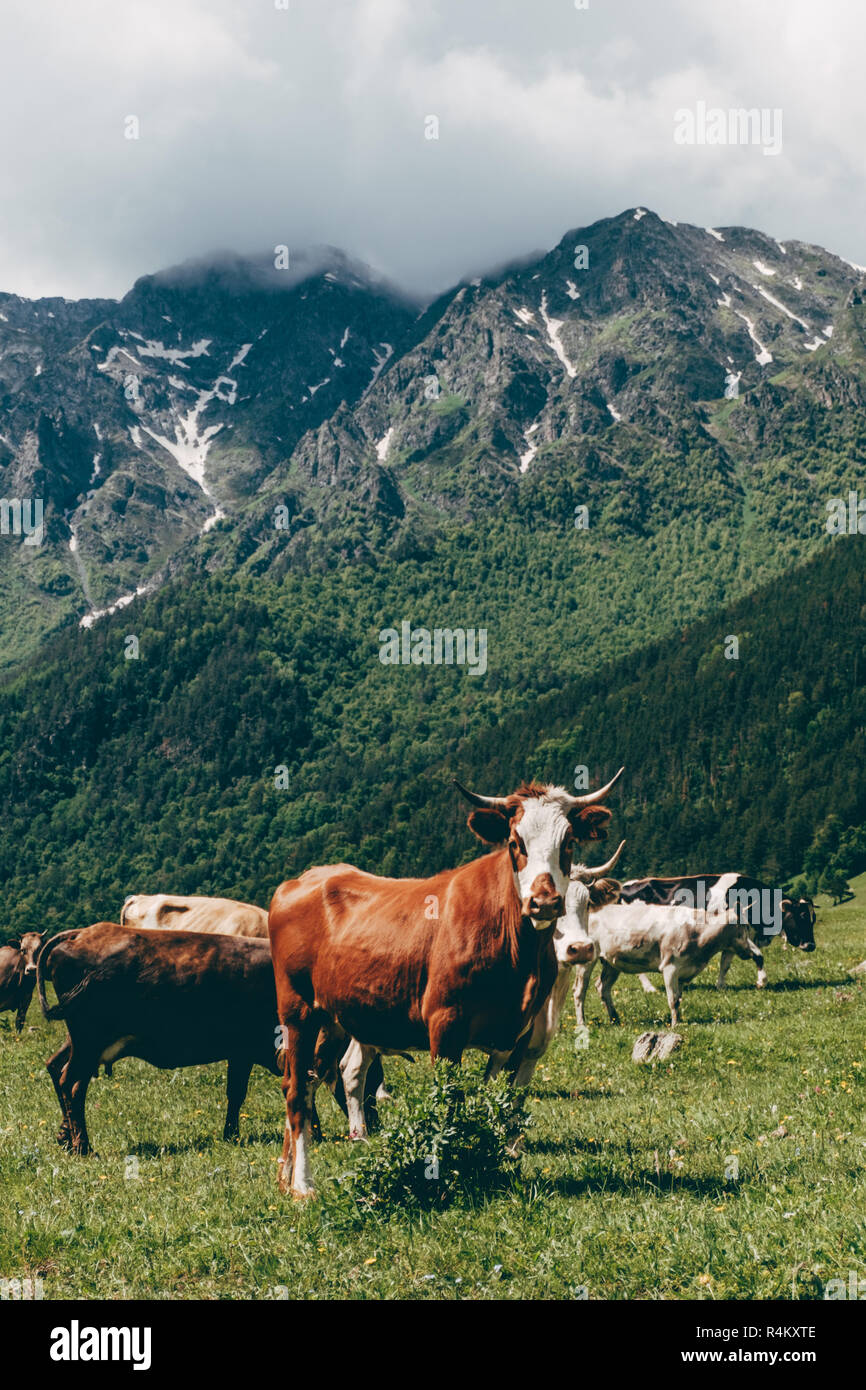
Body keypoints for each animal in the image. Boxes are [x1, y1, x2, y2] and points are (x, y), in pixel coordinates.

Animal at [37, 923, 284, 1154]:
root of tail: (82, 933)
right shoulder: (244, 1050)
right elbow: (237, 1093)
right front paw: (232, 1135)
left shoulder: (241, 1052)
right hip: (89, 1041)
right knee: (71, 1083)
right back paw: (82, 1147)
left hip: (80, 1042)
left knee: (56, 1067)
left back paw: (65, 1137)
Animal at [573, 897, 764, 1028]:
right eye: (745, 926)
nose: (751, 952)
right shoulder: (670, 967)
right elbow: (673, 999)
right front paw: (674, 1026)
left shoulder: (684, 971)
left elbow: (678, 998)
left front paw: (680, 1021)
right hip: (587, 960)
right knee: (579, 991)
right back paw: (582, 1023)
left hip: (612, 962)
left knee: (602, 987)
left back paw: (615, 1019)